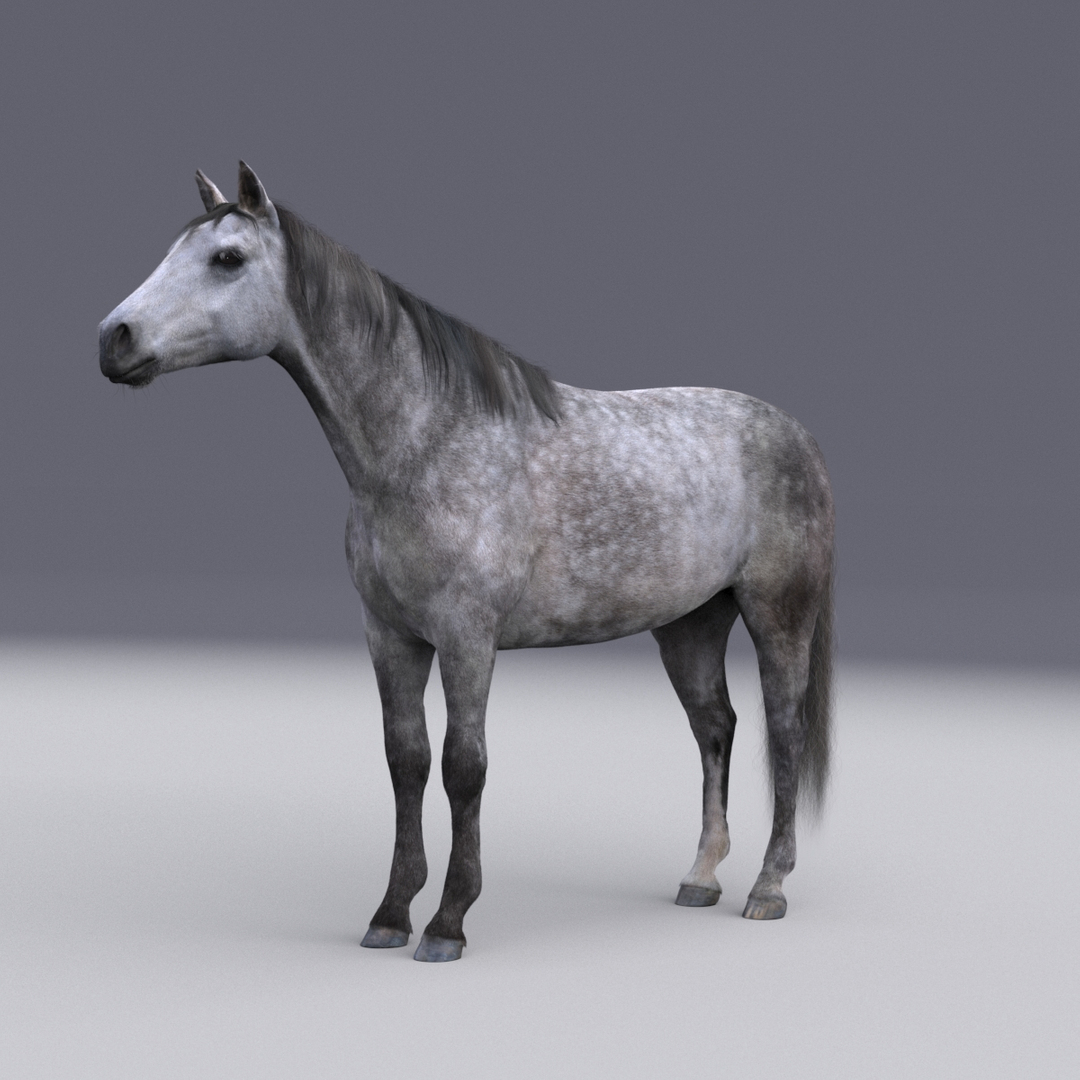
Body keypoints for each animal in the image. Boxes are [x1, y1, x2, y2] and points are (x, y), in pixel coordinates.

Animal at [99, 163, 835, 962]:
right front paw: (391, 913)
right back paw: (700, 877)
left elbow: (464, 765)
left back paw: (768, 888)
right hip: (689, 624)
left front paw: (448, 921)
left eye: (227, 258)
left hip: (777, 615)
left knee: (782, 731)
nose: (113, 339)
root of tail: (796, 434)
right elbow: (406, 760)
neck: (426, 444)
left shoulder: (466, 638)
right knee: (714, 727)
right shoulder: (390, 636)